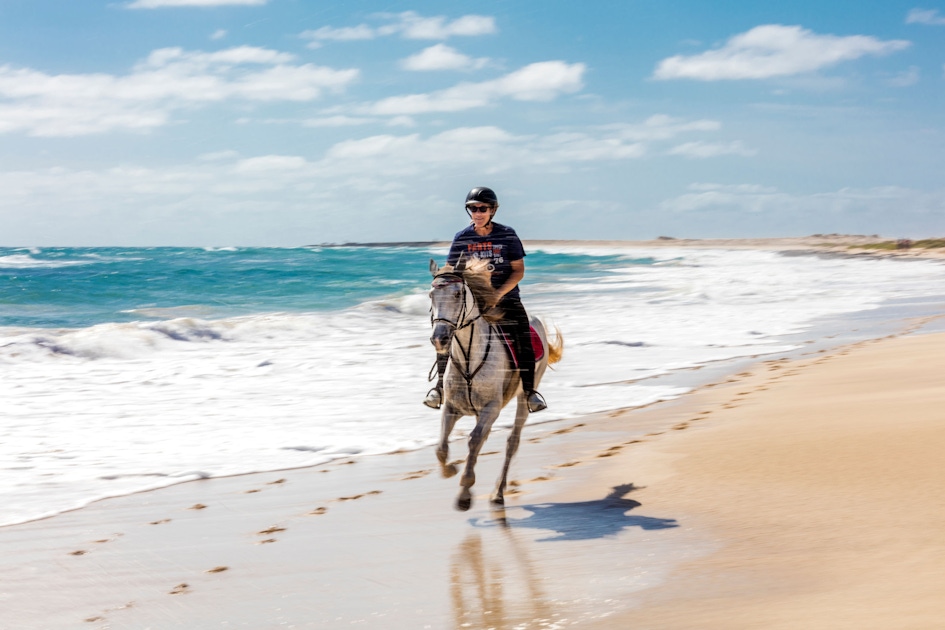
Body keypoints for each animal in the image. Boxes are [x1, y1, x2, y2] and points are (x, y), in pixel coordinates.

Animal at [428, 256, 563, 511]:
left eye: (457, 294)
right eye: (431, 295)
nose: (439, 338)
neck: (469, 358)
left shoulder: (491, 408)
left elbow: (474, 440)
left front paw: (465, 493)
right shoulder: (452, 407)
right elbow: (441, 448)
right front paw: (451, 469)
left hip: (523, 397)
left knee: (512, 441)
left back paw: (498, 493)